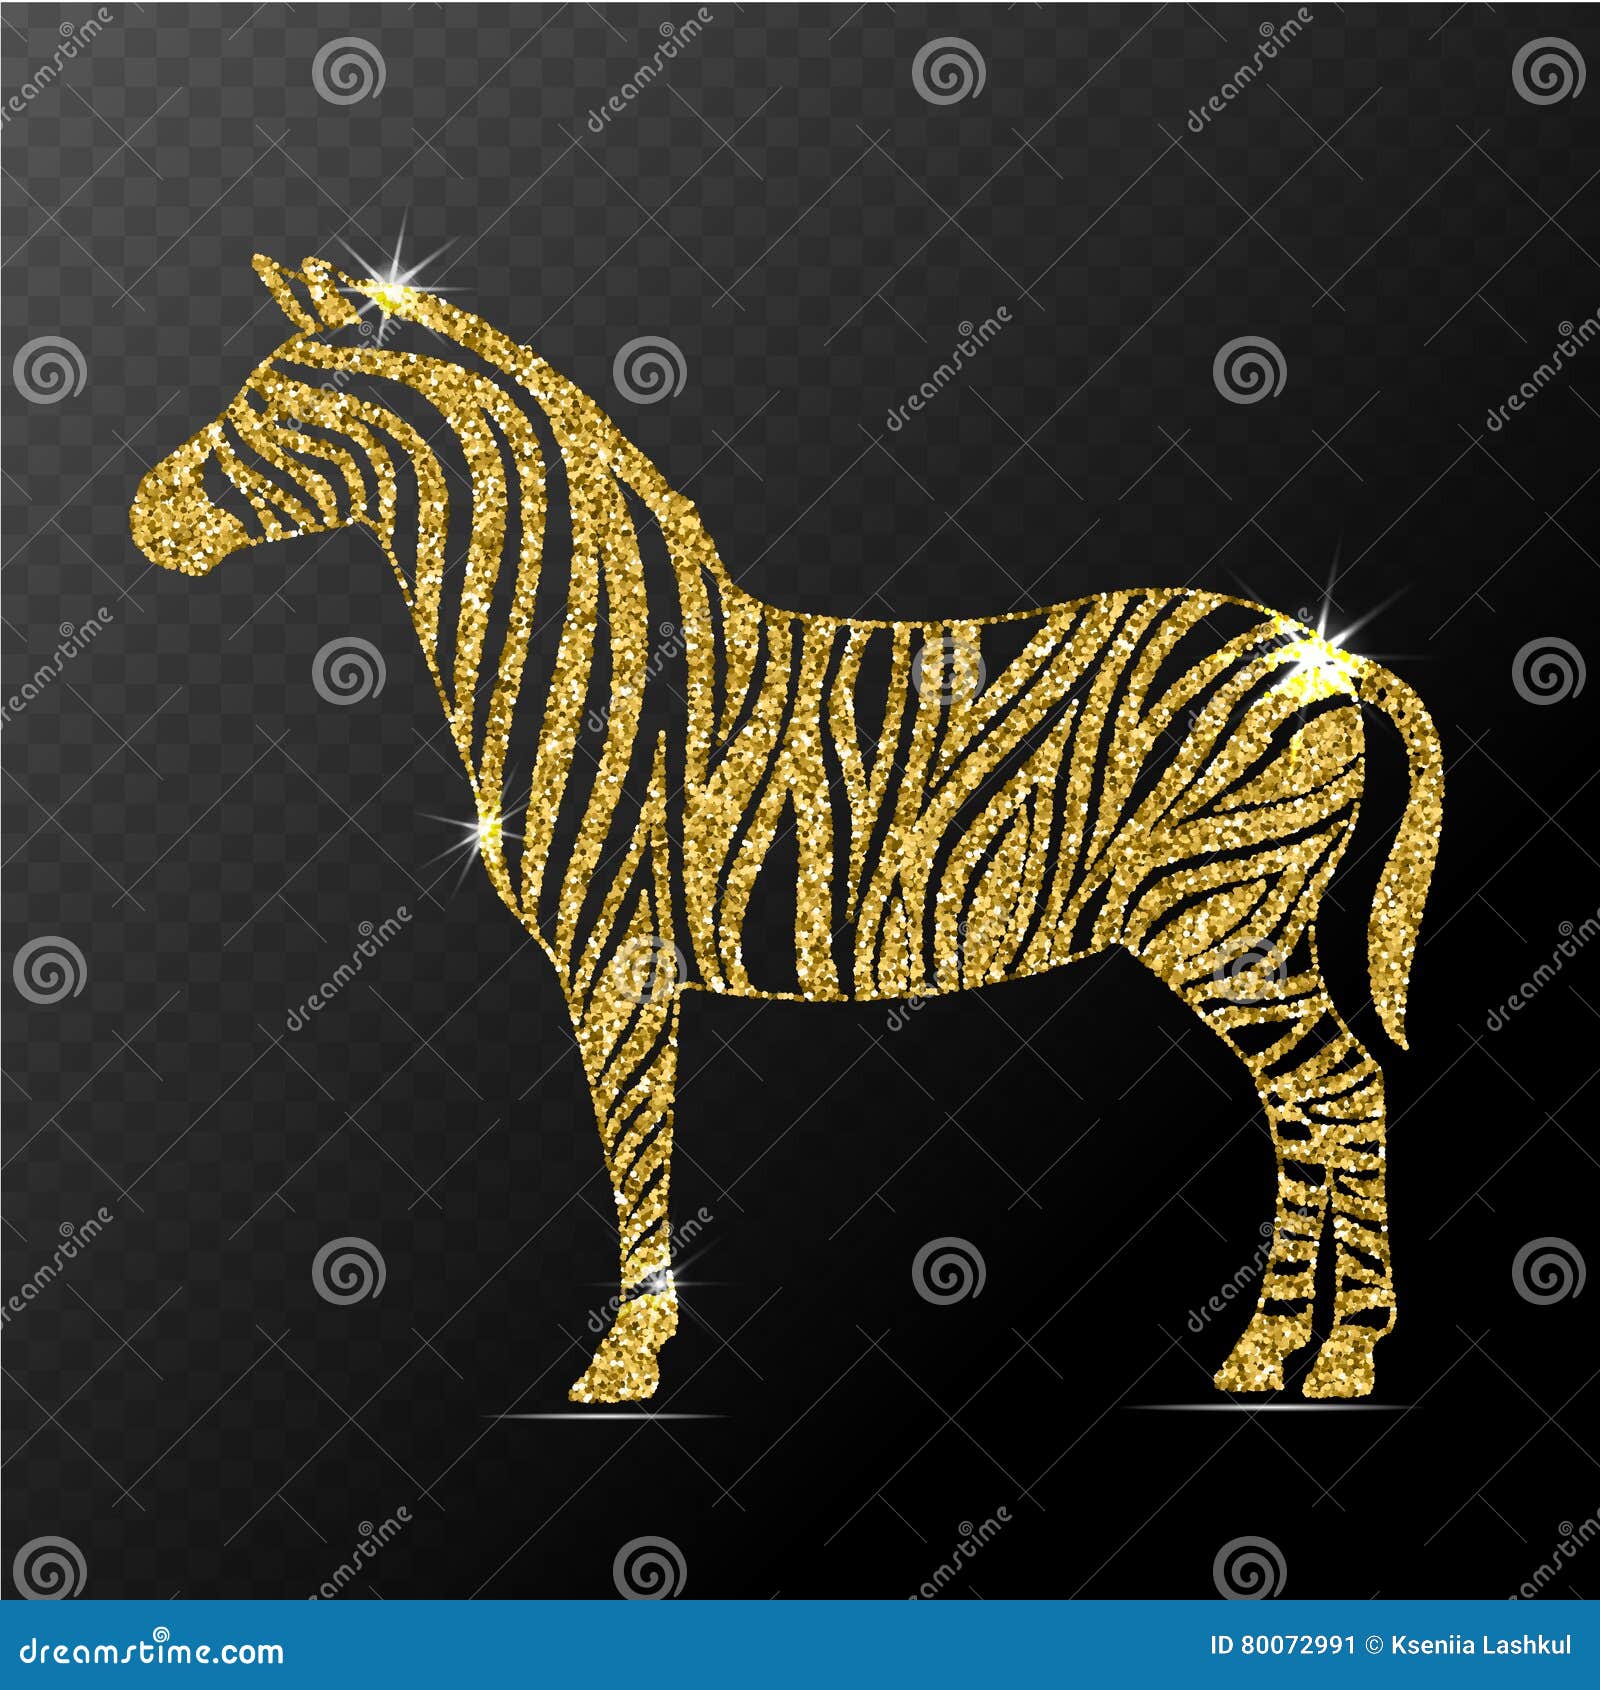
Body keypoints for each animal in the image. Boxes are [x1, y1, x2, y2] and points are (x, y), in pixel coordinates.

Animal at [130, 255, 1443, 1403]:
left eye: (264, 404)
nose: (142, 520)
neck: (586, 661)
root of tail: (1321, 656)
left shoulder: (617, 955)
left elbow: (636, 1150)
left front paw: (626, 1358)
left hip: (1223, 917)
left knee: (1340, 1093)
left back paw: (1331, 1356)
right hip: (1248, 925)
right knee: (1310, 1108)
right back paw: (1278, 1352)